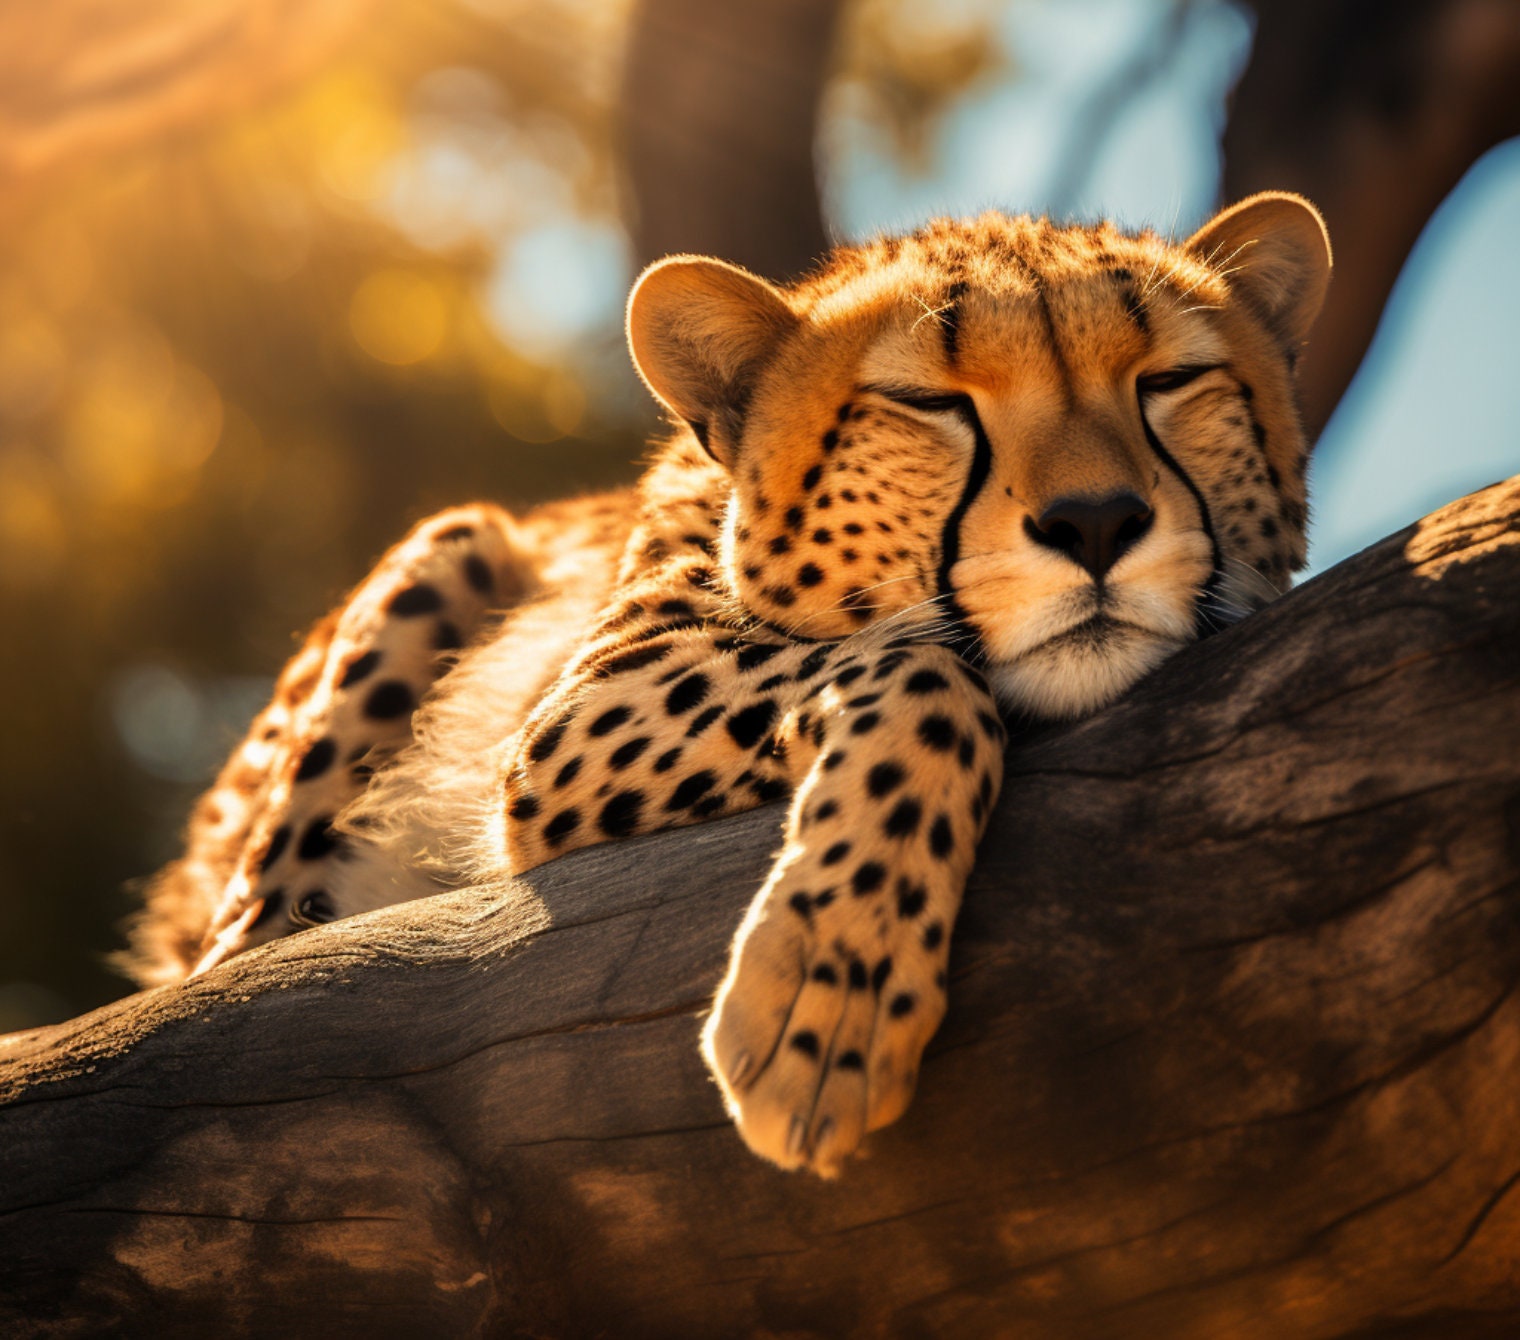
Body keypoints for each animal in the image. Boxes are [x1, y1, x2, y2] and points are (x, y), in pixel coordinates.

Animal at [121, 192, 1331, 1177]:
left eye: (1170, 381)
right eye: (929, 402)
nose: (1096, 522)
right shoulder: (578, 716)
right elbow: (922, 661)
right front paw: (827, 994)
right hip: (445, 552)